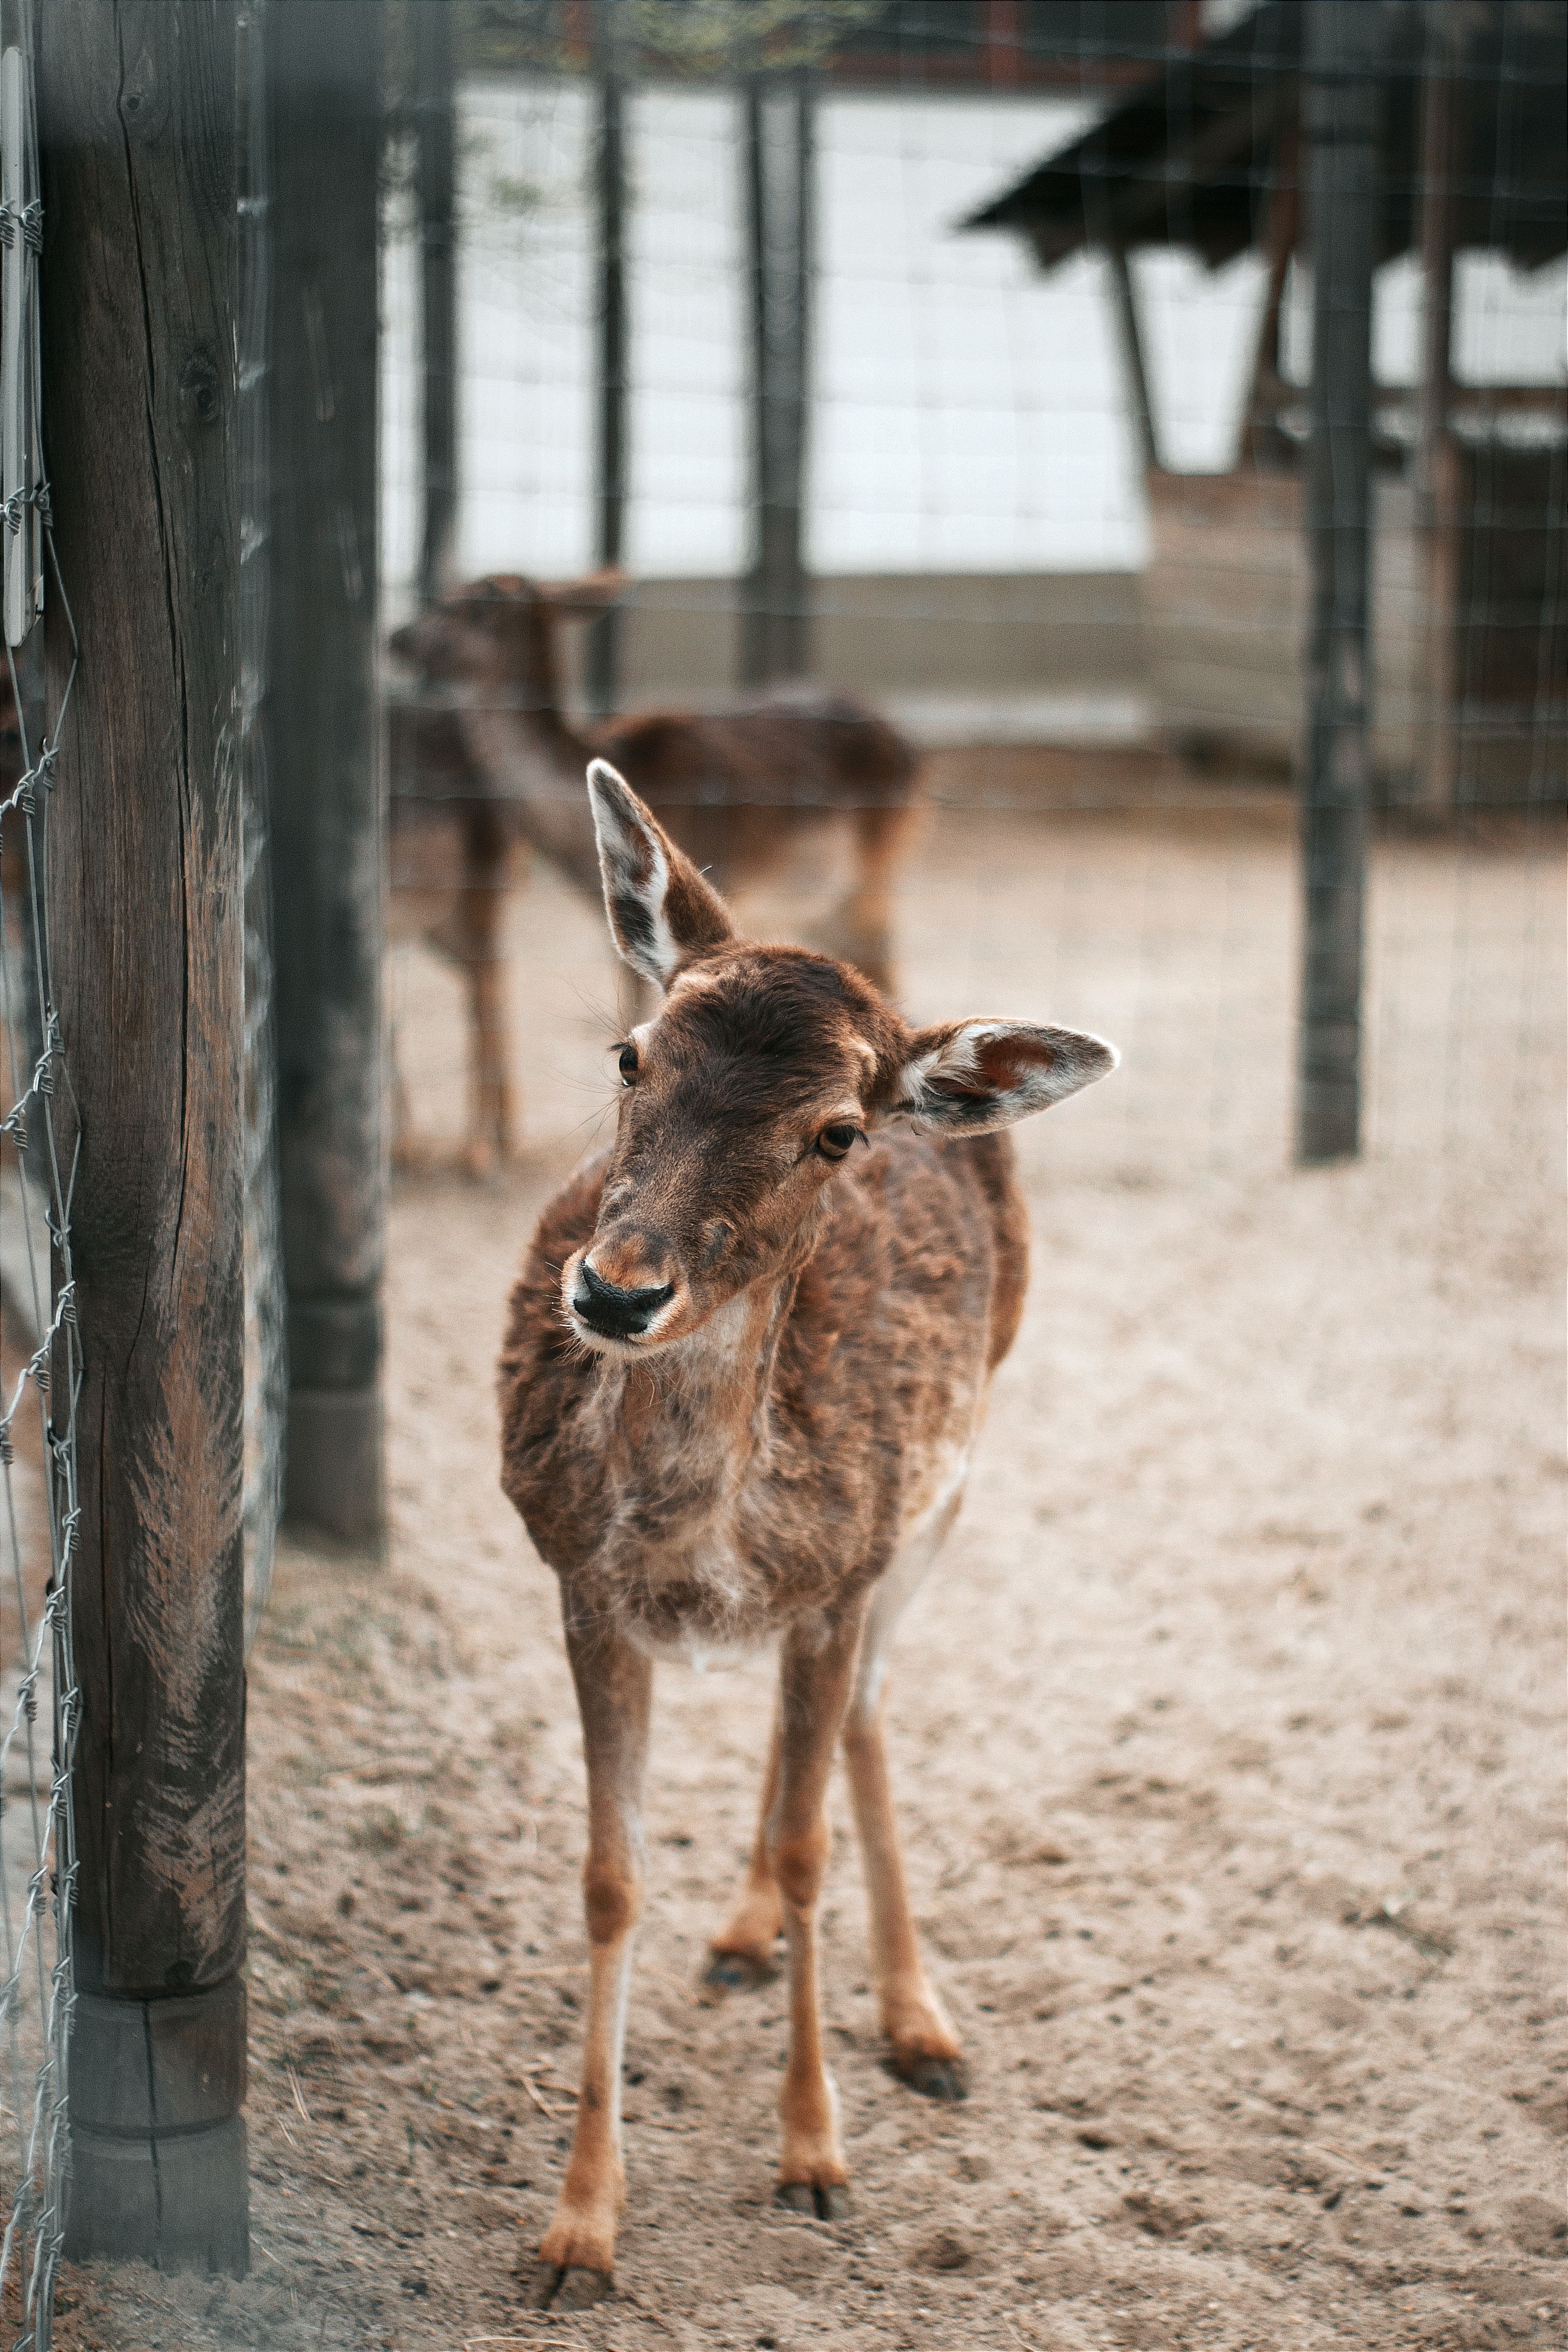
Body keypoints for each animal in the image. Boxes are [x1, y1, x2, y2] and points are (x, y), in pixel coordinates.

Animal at [497, 756, 1117, 2312]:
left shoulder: (841, 1578)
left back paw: (919, 2021)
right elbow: (610, 1879)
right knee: (809, 1755)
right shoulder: (581, 1586)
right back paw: (738, 1942)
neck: (697, 1543)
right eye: (630, 1055)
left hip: (942, 1498)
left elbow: (808, 1845)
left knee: (863, 1727)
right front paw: (577, 2231)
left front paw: (816, 2156)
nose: (613, 1290)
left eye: (834, 1132)